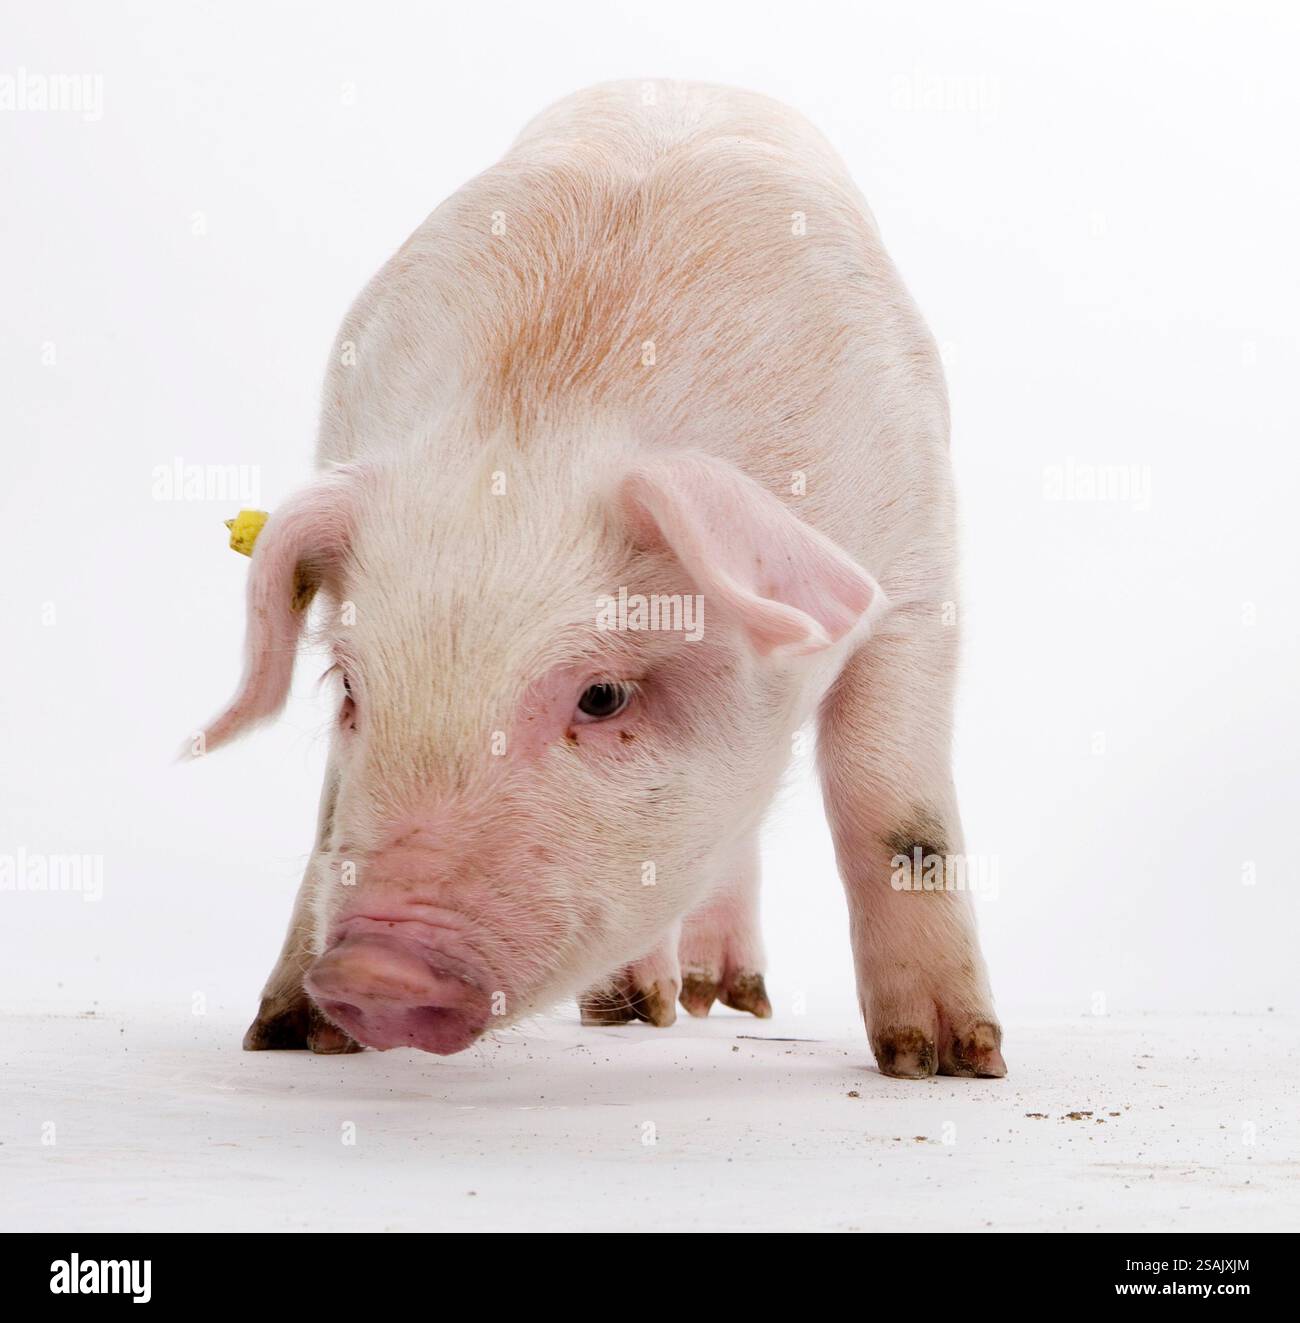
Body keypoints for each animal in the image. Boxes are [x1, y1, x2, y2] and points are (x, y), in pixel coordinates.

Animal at [198, 80, 1006, 1079]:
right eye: (350, 688)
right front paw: (287, 1038)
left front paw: (945, 1063)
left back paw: (727, 1003)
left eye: (603, 695)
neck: (552, 408)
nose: (375, 973)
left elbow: (894, 809)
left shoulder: (916, 571)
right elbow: (328, 818)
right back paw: (644, 1008)